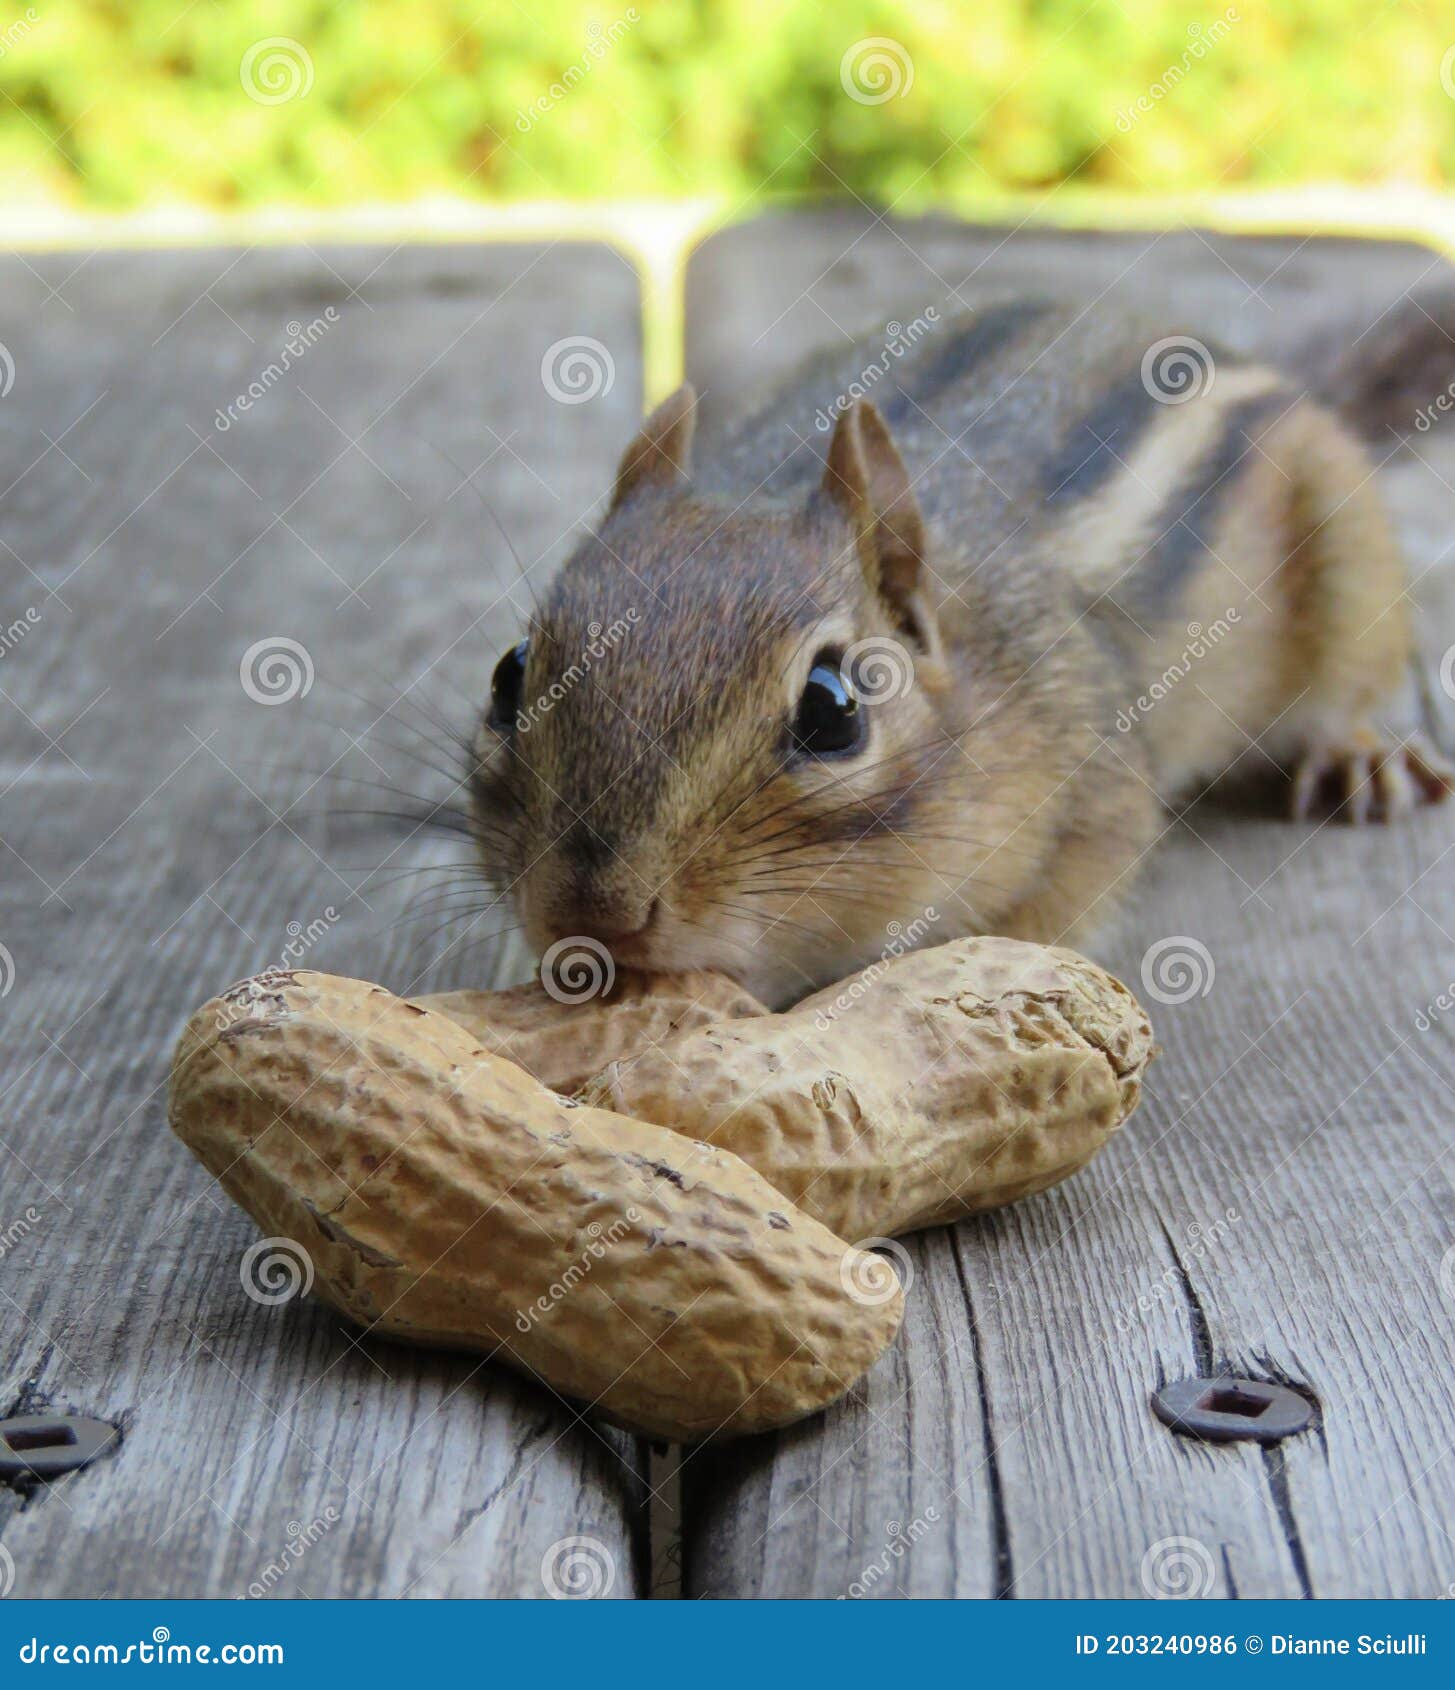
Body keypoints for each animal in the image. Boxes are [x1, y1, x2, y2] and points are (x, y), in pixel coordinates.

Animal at [468, 300, 1451, 1007]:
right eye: (509, 675)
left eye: (833, 710)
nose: (593, 914)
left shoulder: (1093, 795)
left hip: (1349, 559)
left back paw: (1361, 751)